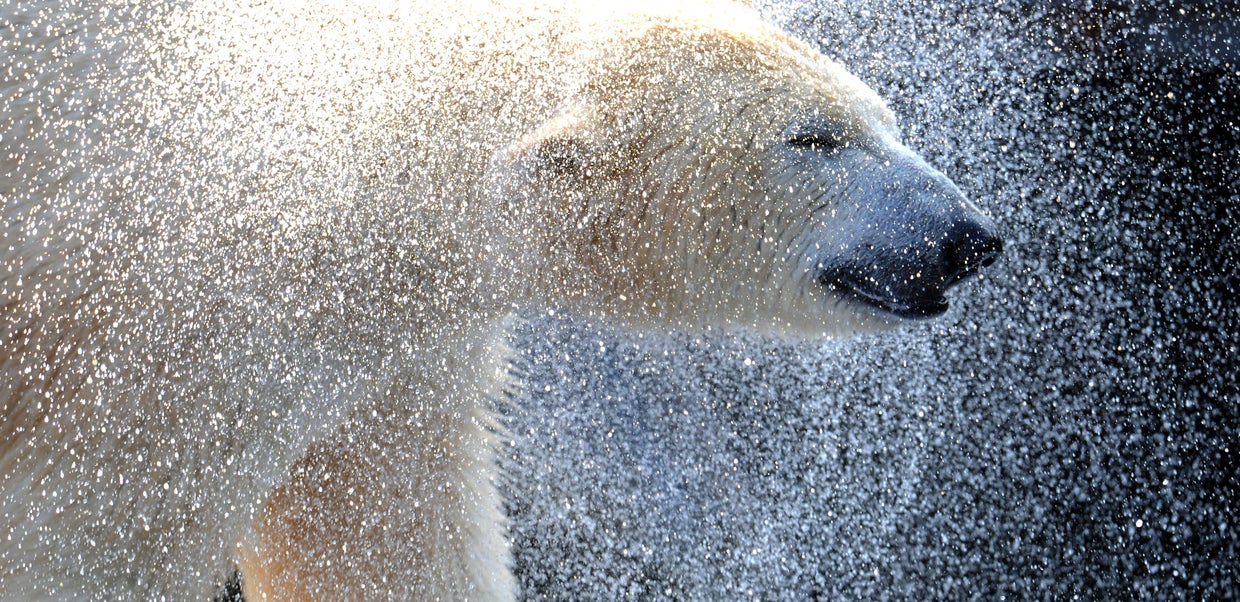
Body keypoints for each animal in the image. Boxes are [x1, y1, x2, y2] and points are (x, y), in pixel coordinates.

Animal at [0, 0, 1001, 600]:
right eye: (814, 139)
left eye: (885, 119)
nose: (969, 238)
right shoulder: (163, 315)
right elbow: (95, 536)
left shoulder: (392, 349)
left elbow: (387, 523)